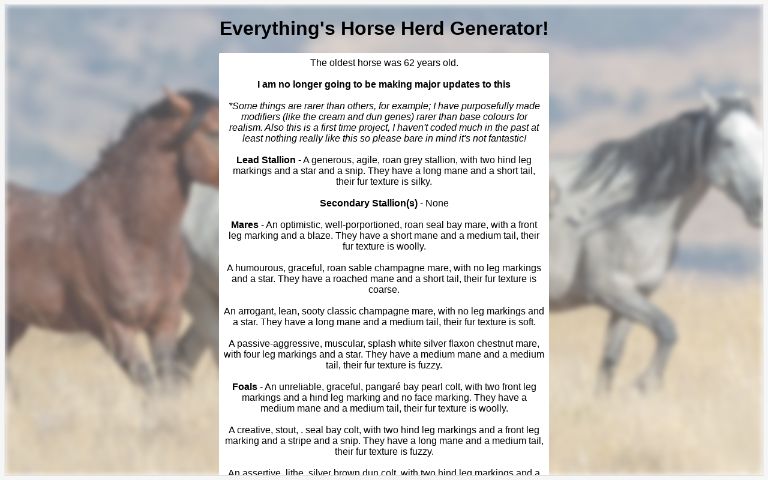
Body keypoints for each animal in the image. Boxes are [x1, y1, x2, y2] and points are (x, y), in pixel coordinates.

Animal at [6, 90, 219, 391]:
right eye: (212, 132)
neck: (129, 237)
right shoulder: (113, 328)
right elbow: (152, 386)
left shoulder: (164, 322)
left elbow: (165, 387)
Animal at [550, 92, 762, 392]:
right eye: (727, 141)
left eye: (759, 137)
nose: (759, 204)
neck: (625, 210)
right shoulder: (610, 290)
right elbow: (667, 329)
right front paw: (646, 383)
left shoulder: (631, 298)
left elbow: (609, 361)